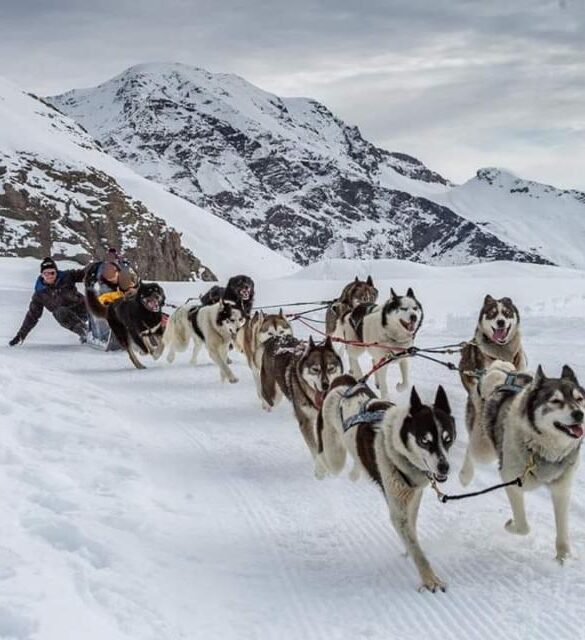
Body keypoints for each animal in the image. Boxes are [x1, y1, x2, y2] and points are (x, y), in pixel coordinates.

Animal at [314, 378, 456, 592]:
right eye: (425, 440)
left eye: (448, 439)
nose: (444, 467)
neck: (397, 446)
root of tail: (342, 384)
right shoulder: (397, 506)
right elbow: (417, 550)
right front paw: (430, 579)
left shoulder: (412, 495)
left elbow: (411, 528)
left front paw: (408, 551)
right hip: (334, 454)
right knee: (323, 457)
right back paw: (319, 470)